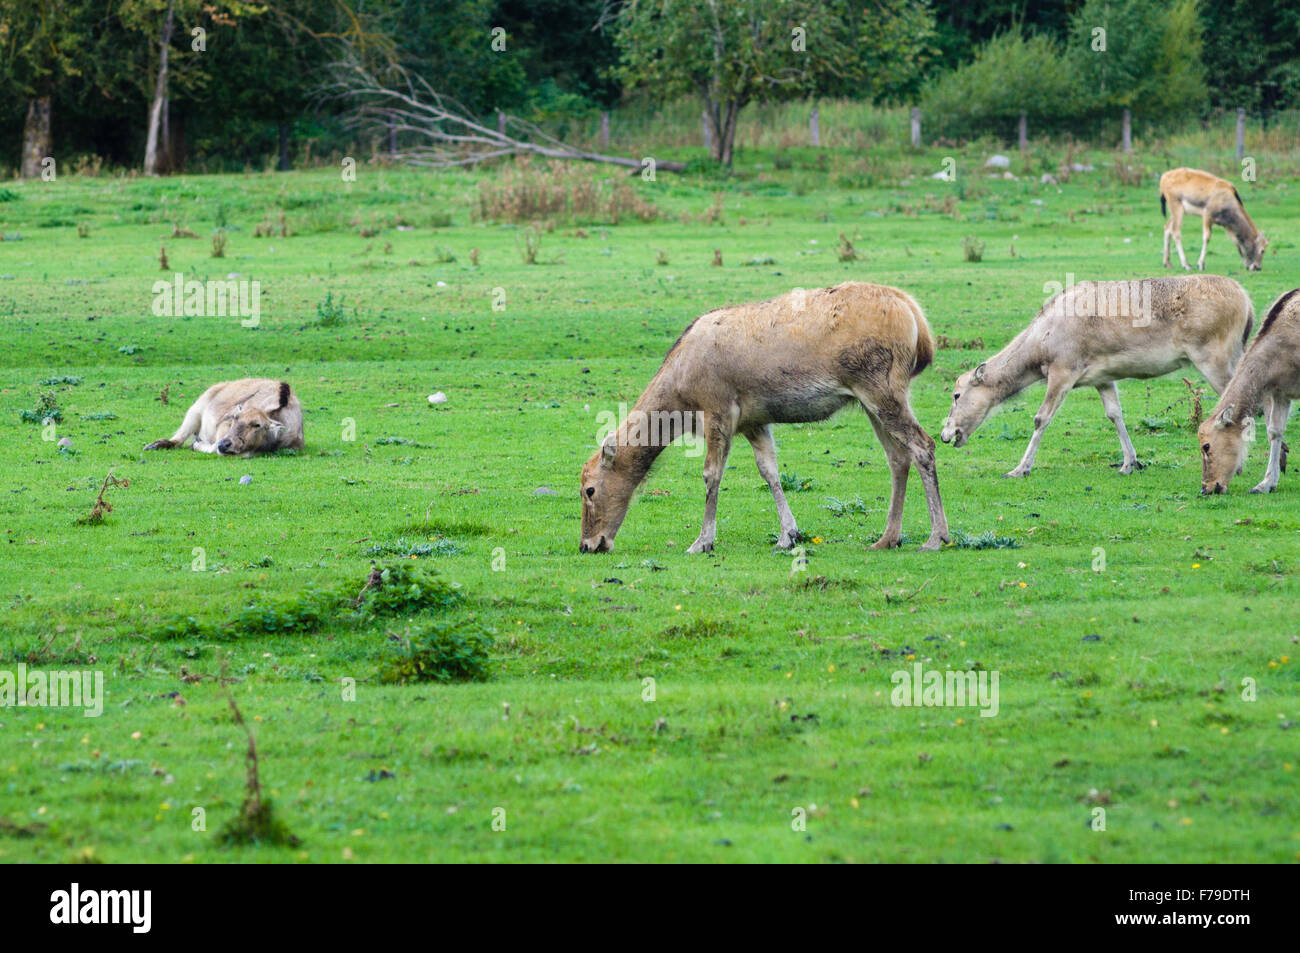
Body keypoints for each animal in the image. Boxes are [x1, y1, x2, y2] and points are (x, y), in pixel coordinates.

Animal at [578, 283, 949, 555]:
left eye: (589, 490)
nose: (588, 545)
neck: (682, 398)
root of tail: (918, 321)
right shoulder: (754, 421)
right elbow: (769, 471)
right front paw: (788, 535)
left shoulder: (719, 408)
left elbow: (711, 475)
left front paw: (702, 542)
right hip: (870, 399)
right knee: (897, 457)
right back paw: (888, 538)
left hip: (881, 387)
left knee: (923, 445)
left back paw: (936, 537)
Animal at [940, 275, 1254, 477]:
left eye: (956, 394)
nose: (945, 433)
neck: (1040, 349)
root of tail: (1248, 303)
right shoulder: (1102, 377)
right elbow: (1115, 414)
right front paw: (1129, 463)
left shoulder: (1064, 369)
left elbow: (1041, 418)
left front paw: (1019, 468)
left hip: (1212, 356)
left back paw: (1239, 465)